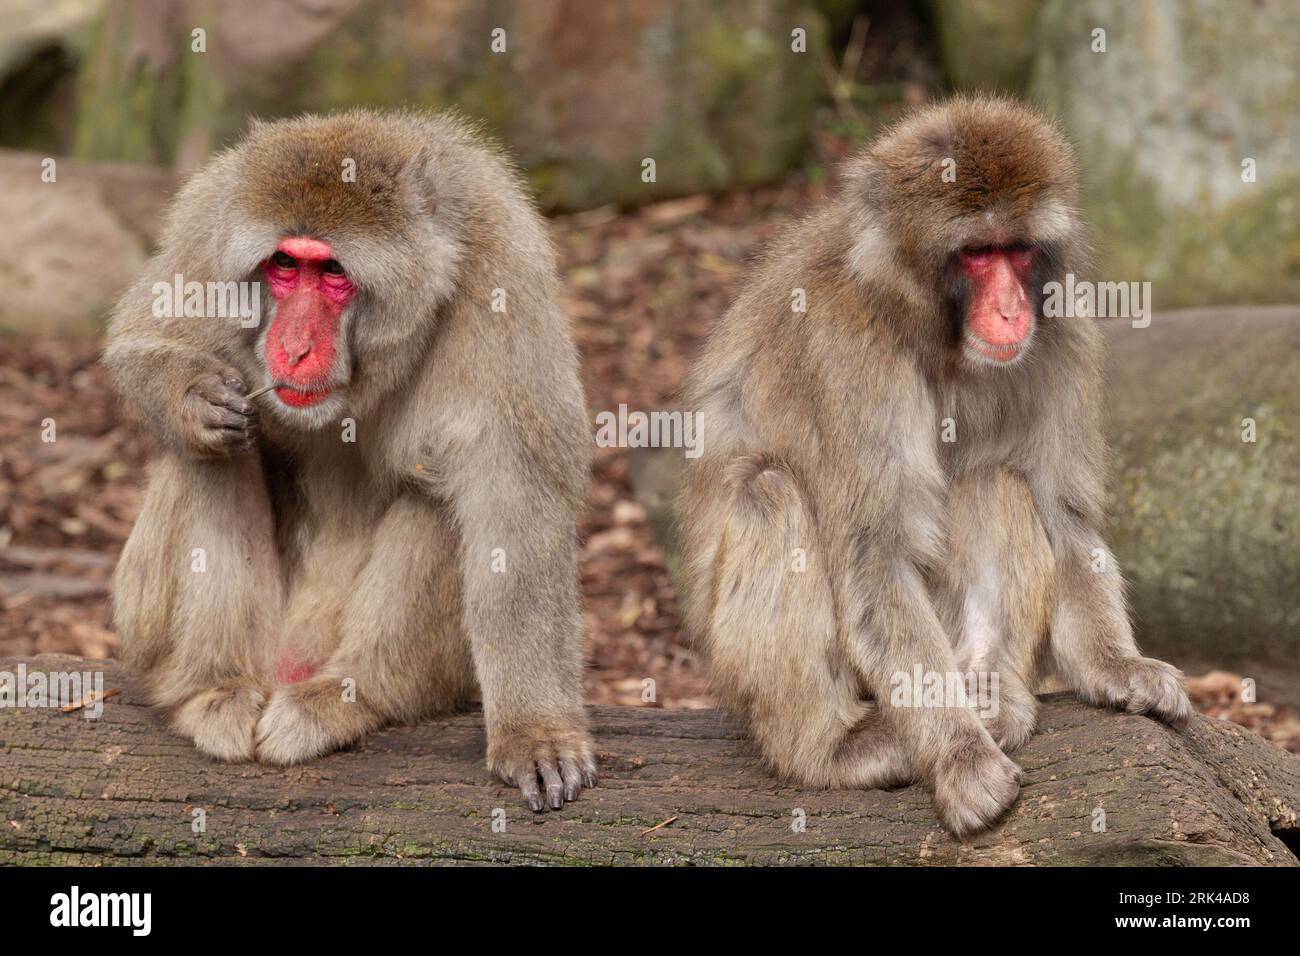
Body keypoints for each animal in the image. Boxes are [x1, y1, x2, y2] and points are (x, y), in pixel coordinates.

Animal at [103, 110, 596, 811]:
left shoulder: (504, 275)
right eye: (285, 264)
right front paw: (194, 398)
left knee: (440, 497)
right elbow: (140, 338)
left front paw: (534, 730)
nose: (294, 348)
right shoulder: (207, 222)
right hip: (164, 632)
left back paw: (346, 697)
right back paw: (215, 686)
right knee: (207, 458)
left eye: (333, 273)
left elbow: (516, 501)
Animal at [678, 96, 1192, 837]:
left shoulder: (1063, 331)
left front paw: (1115, 665)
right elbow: (876, 559)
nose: (1010, 308)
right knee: (768, 494)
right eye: (977, 253)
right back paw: (827, 747)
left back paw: (987, 686)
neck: (934, 337)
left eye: (1017, 250)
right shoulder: (846, 353)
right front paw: (958, 761)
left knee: (993, 480)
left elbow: (1064, 515)